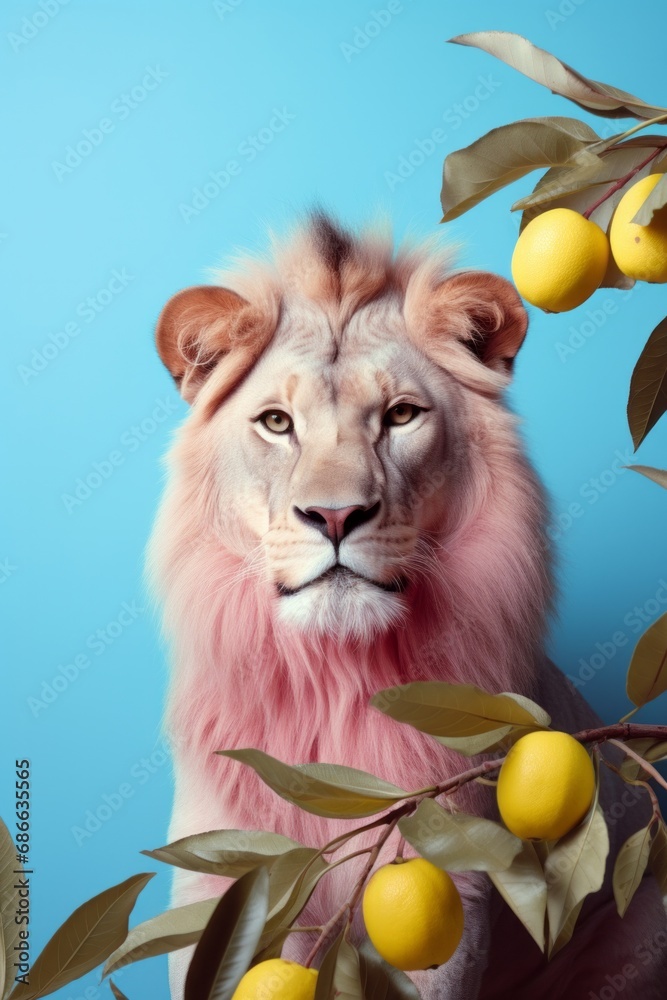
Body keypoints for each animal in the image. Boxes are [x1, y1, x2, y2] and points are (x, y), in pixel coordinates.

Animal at [147, 214, 666, 999]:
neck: (334, 678)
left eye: (400, 416)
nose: (334, 516)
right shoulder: (217, 884)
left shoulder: (445, 873)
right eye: (276, 423)